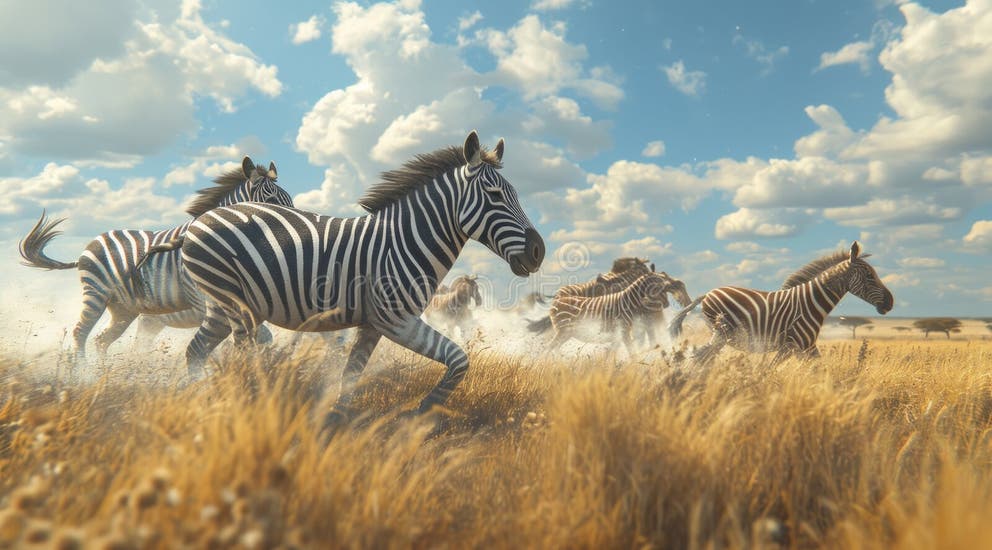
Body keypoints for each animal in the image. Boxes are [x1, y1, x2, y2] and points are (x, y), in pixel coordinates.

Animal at [18, 157, 293, 359]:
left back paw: (103, 376)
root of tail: (90, 244)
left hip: (124, 309)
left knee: (101, 340)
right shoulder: (207, 303)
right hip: (95, 295)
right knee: (80, 334)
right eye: (270, 200)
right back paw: (83, 376)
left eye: (289, 199)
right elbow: (257, 337)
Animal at [136, 131, 544, 423]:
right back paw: (240, 404)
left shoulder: (371, 325)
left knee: (197, 351)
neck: (402, 241)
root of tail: (195, 225)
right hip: (233, 304)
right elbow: (459, 359)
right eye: (495, 195)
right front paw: (422, 414)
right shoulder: (396, 319)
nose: (539, 251)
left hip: (223, 308)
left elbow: (351, 375)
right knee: (234, 355)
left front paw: (336, 419)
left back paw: (207, 401)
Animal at [545, 272, 676, 352]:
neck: (629, 303)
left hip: (566, 333)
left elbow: (611, 355)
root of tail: (556, 301)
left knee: (554, 347)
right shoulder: (623, 332)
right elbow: (631, 353)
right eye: (658, 287)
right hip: (563, 331)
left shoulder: (619, 335)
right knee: (549, 347)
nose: (667, 304)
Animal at [668, 241, 894, 364]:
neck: (812, 302)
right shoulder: (792, 345)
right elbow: (766, 370)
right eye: (869, 276)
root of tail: (707, 294)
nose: (890, 303)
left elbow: (820, 372)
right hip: (722, 333)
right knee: (700, 357)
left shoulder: (807, 347)